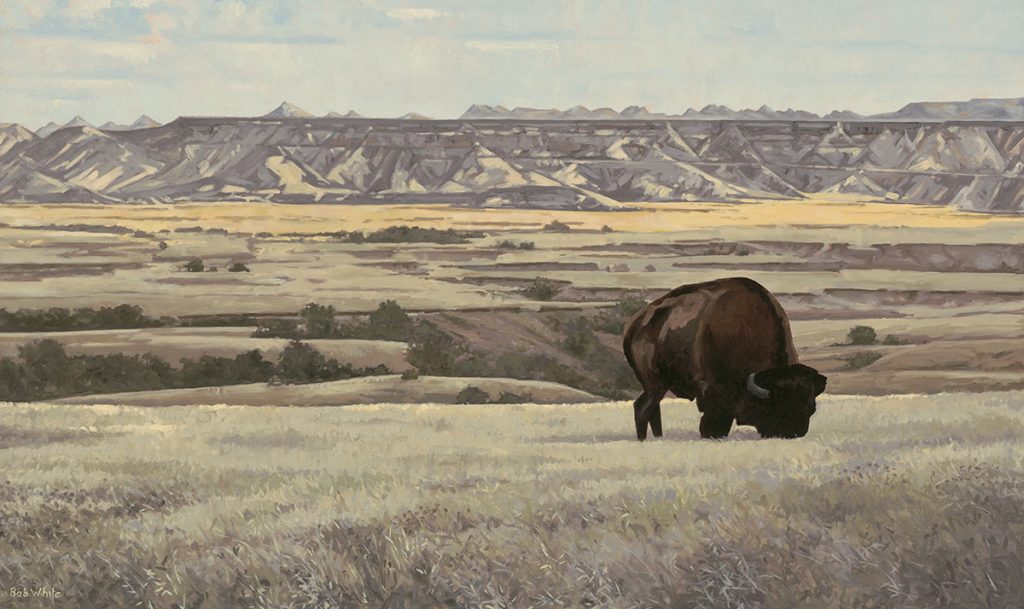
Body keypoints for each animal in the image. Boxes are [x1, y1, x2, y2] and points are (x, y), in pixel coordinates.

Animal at [623, 277, 826, 440]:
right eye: (778, 406)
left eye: (811, 407)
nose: (794, 433)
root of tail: (636, 323)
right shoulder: (713, 391)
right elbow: (714, 423)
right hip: (654, 384)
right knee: (642, 408)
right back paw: (643, 440)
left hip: (659, 386)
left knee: (652, 410)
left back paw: (658, 437)